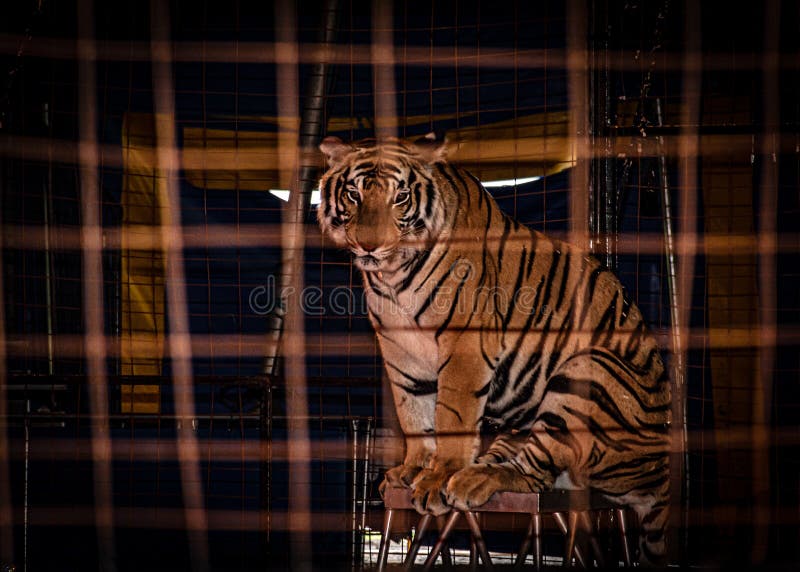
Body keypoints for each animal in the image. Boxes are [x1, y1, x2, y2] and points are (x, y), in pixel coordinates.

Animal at [316, 132, 672, 566]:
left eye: (399, 198)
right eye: (354, 193)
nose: (369, 245)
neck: (392, 276)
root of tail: (661, 473)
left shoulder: (465, 340)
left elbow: (451, 414)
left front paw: (438, 477)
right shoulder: (399, 349)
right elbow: (413, 413)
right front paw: (413, 468)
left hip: (590, 371)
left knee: (537, 474)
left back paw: (471, 478)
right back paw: (478, 467)